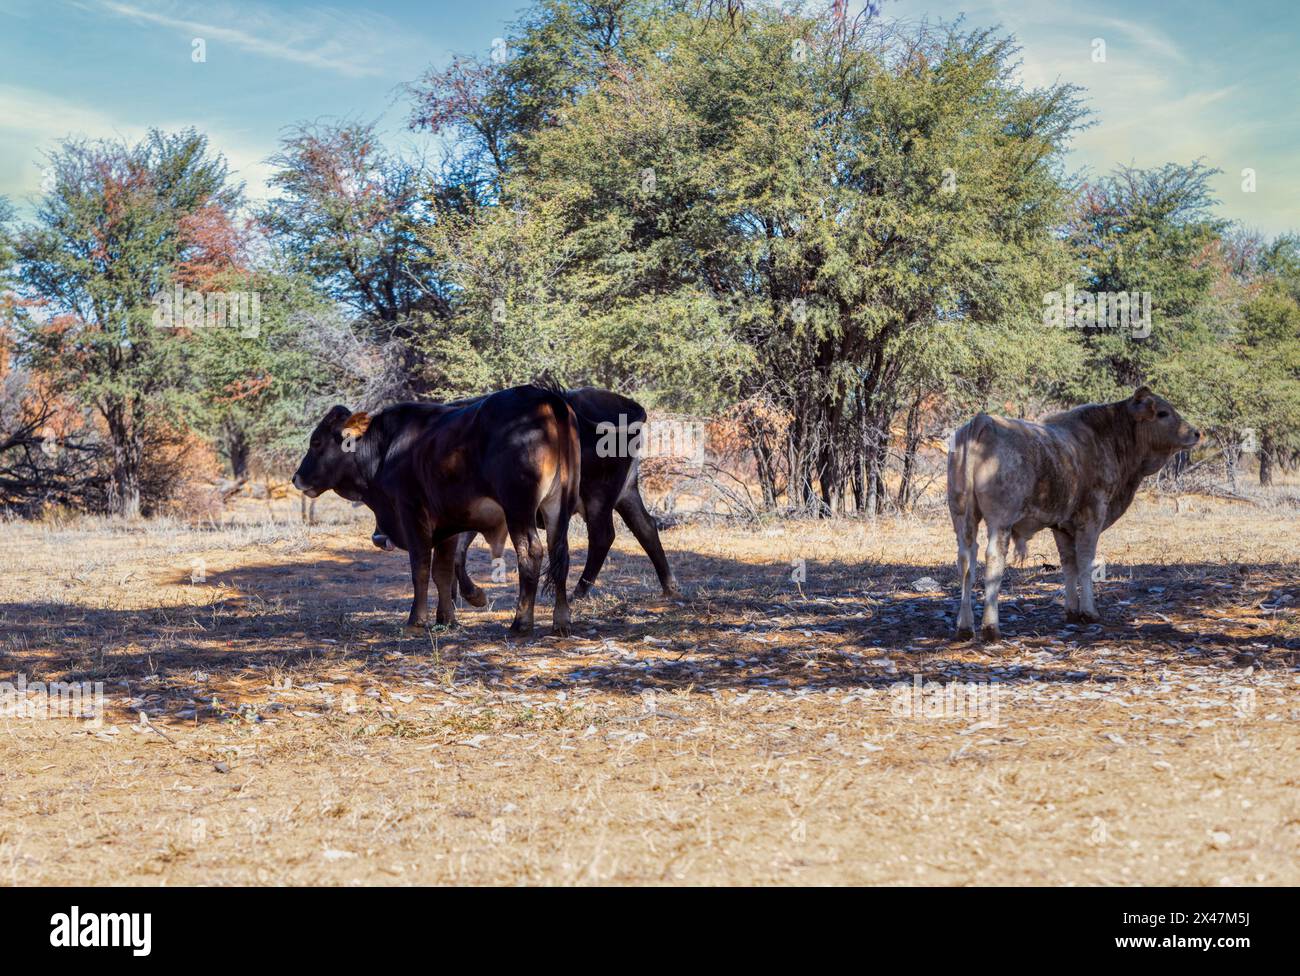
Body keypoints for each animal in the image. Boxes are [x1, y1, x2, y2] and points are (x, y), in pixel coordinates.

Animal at [292, 384, 582, 637]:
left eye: (316, 442)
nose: (297, 478)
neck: (385, 449)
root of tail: (546, 398)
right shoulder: (448, 524)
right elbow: (442, 572)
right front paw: (447, 619)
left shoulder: (411, 512)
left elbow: (420, 568)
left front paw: (416, 620)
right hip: (558, 506)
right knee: (559, 554)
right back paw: (561, 621)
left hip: (518, 507)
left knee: (530, 552)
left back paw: (521, 623)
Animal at [371, 387, 678, 604]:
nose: (378, 538)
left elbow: (457, 553)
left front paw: (472, 595)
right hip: (626, 494)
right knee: (646, 527)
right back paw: (669, 586)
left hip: (597, 499)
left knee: (603, 536)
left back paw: (578, 592)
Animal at [947, 387, 1201, 641]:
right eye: (1163, 413)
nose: (1196, 432)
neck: (1106, 436)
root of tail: (983, 421)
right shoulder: (1093, 515)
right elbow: (1085, 561)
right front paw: (1089, 611)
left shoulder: (1061, 525)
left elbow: (1068, 563)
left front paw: (1071, 610)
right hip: (1000, 520)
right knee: (993, 558)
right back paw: (991, 627)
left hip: (961, 516)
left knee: (966, 559)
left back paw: (964, 626)